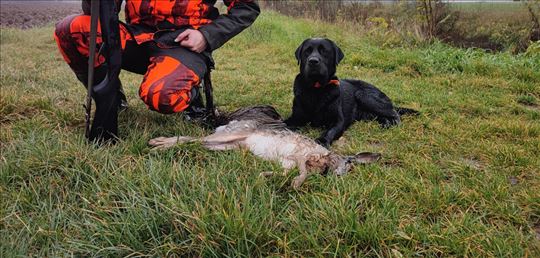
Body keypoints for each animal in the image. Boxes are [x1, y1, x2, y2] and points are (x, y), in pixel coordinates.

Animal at [282, 38, 418, 147]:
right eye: (307, 51)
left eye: (324, 51)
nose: (313, 61)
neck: (316, 88)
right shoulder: (296, 117)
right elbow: (285, 122)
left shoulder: (338, 121)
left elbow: (330, 131)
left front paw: (322, 140)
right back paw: (385, 123)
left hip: (363, 96)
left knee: (394, 113)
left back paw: (393, 123)